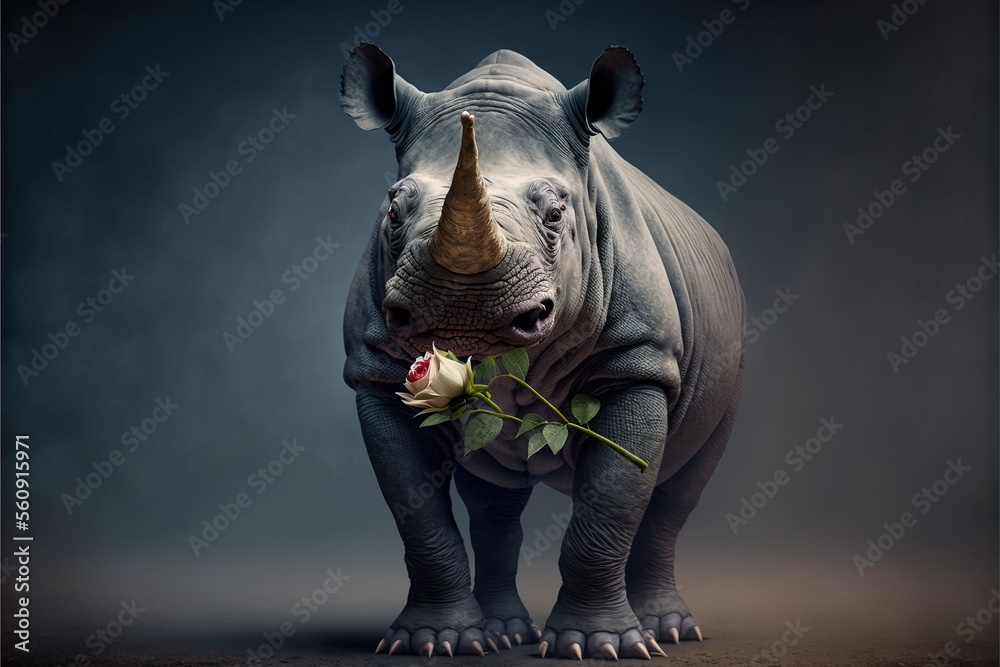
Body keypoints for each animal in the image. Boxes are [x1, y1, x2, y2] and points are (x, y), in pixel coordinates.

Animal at [340, 44, 745, 660]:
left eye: (556, 214)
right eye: (393, 212)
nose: (461, 310)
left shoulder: (639, 361)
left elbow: (609, 504)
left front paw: (598, 645)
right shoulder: (377, 373)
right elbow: (417, 512)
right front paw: (430, 641)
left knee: (676, 490)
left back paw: (669, 630)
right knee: (493, 500)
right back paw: (502, 634)